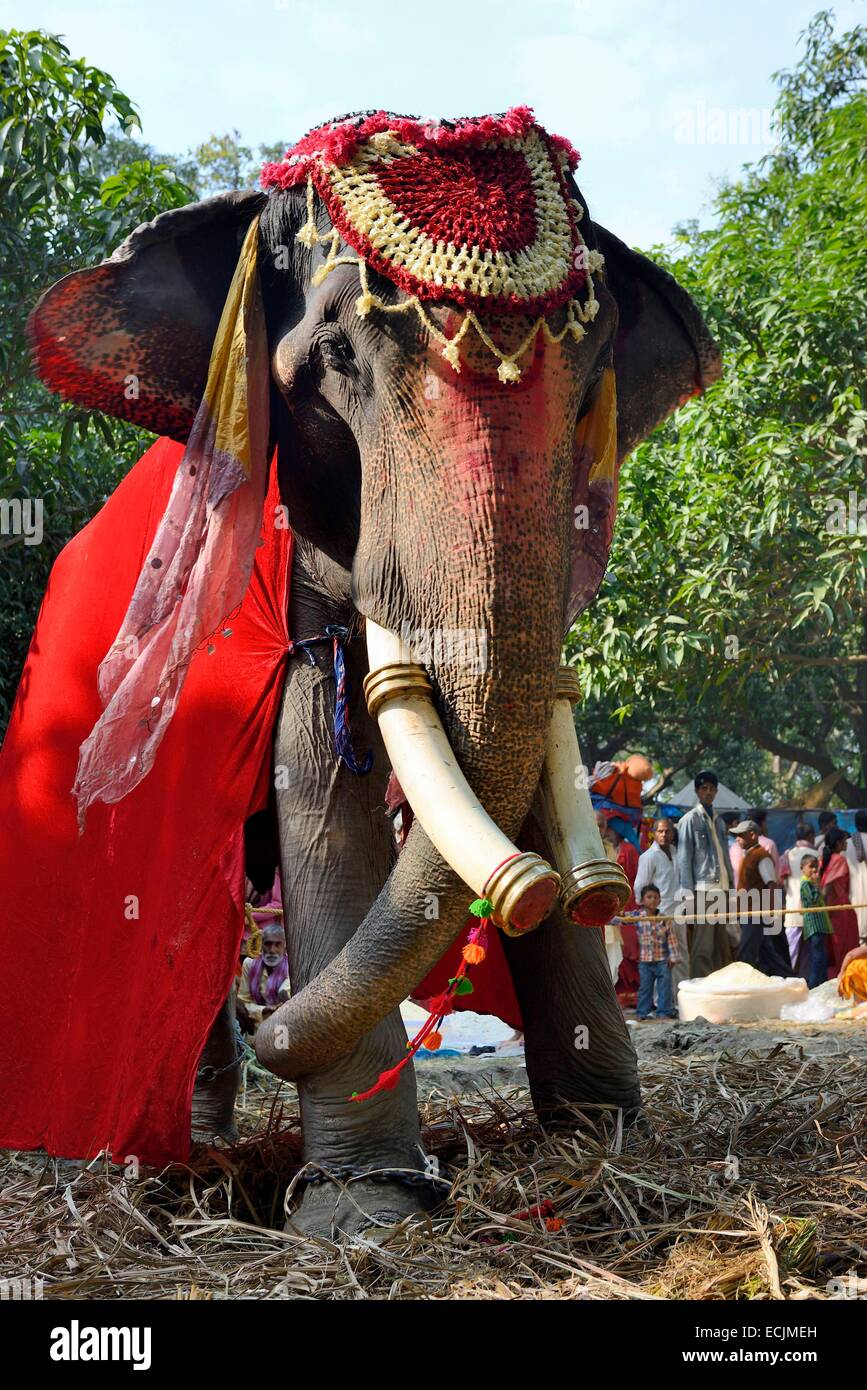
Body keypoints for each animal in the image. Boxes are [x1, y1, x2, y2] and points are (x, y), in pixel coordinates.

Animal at [28, 109, 720, 1238]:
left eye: (594, 367)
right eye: (336, 356)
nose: (558, 893)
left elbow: (523, 766)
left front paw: (607, 1141)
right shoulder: (298, 615)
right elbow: (317, 782)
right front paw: (367, 1207)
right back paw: (176, 1148)